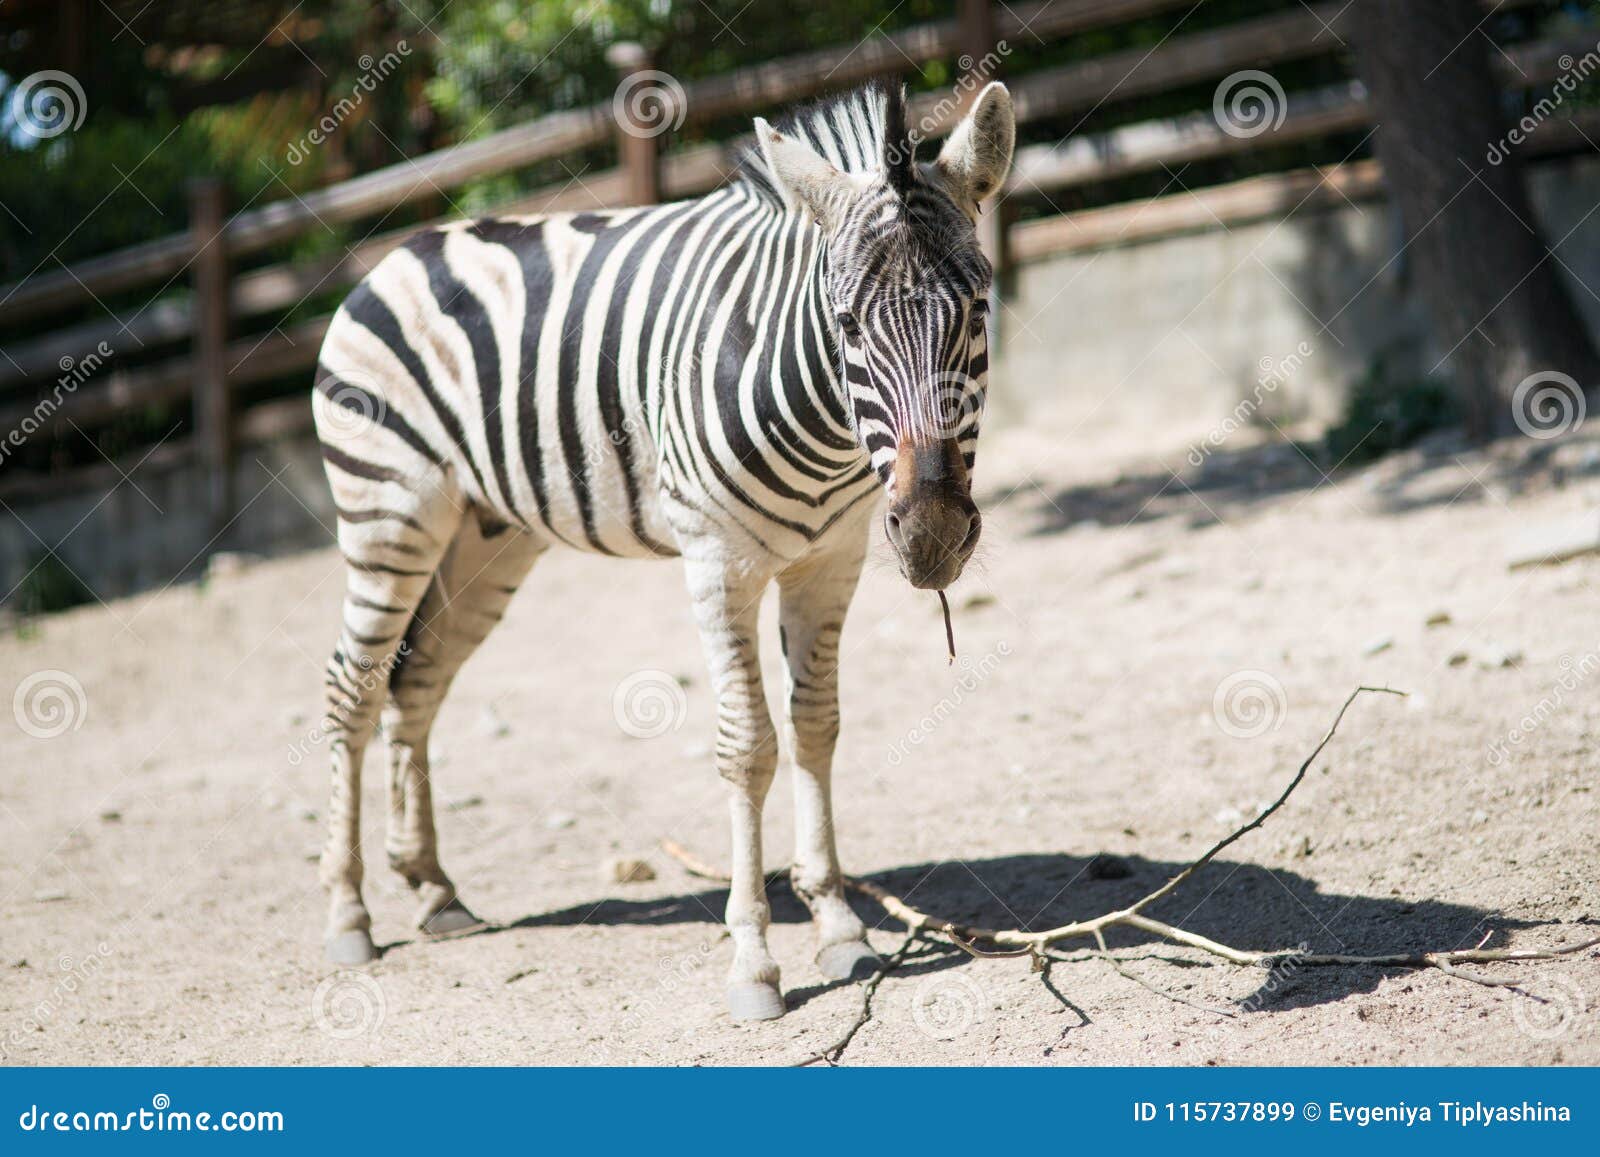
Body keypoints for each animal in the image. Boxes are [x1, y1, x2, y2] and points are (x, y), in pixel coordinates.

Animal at [311, 79, 1015, 1020]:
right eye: (846, 325)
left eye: (976, 307)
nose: (933, 534)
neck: (825, 427)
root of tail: (406, 248)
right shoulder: (719, 562)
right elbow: (748, 744)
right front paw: (754, 959)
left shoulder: (831, 559)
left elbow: (817, 727)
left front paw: (837, 923)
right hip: (389, 510)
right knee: (352, 688)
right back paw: (348, 913)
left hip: (486, 535)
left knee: (415, 683)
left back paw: (432, 889)